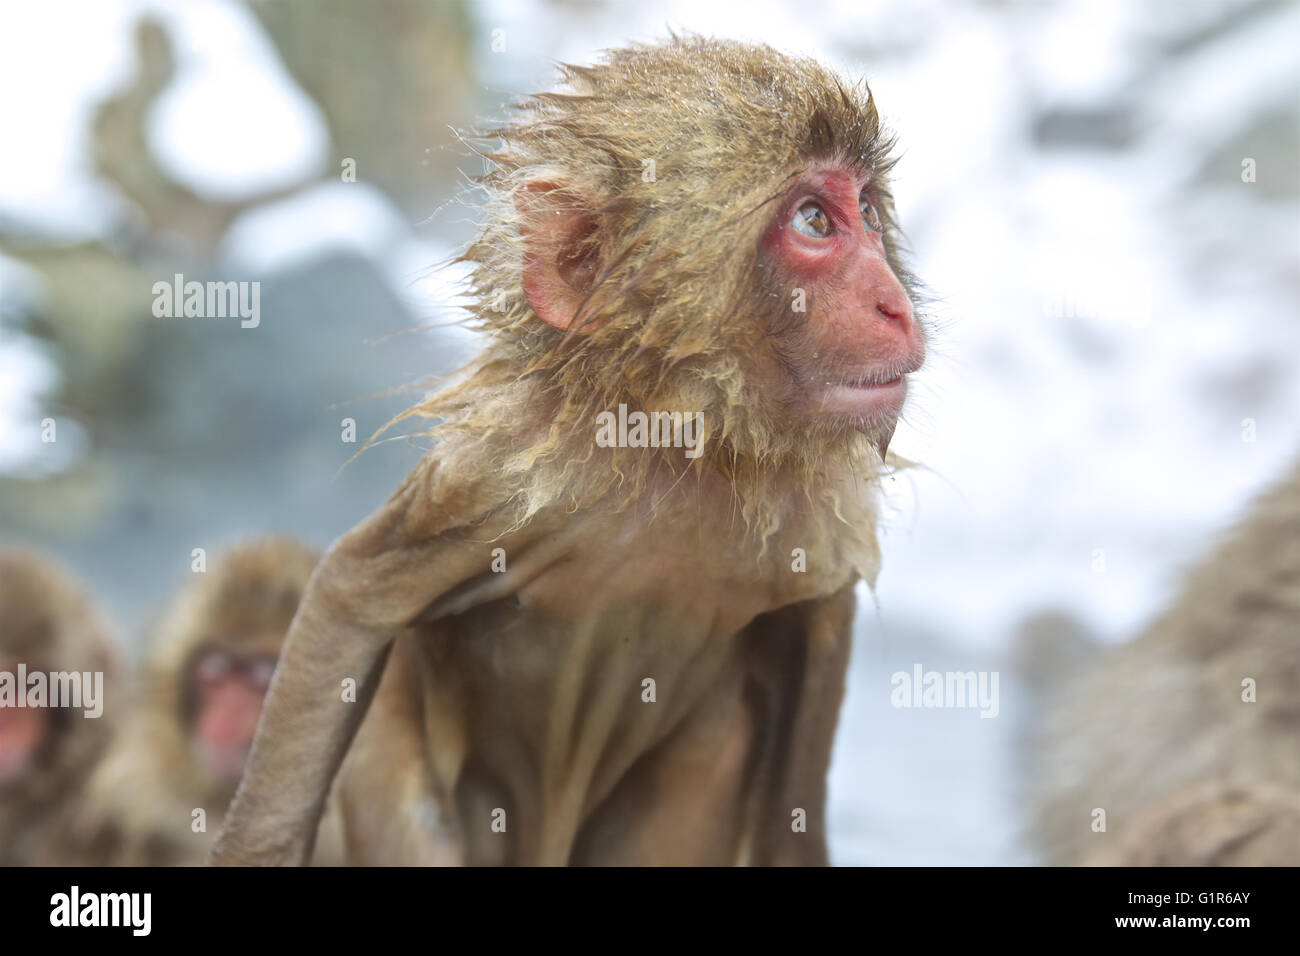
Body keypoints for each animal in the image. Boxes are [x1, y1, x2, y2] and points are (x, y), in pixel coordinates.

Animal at [213, 36, 927, 866]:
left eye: (868, 213)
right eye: (815, 221)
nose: (895, 304)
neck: (688, 453)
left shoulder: (814, 527)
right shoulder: (504, 480)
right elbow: (349, 598)